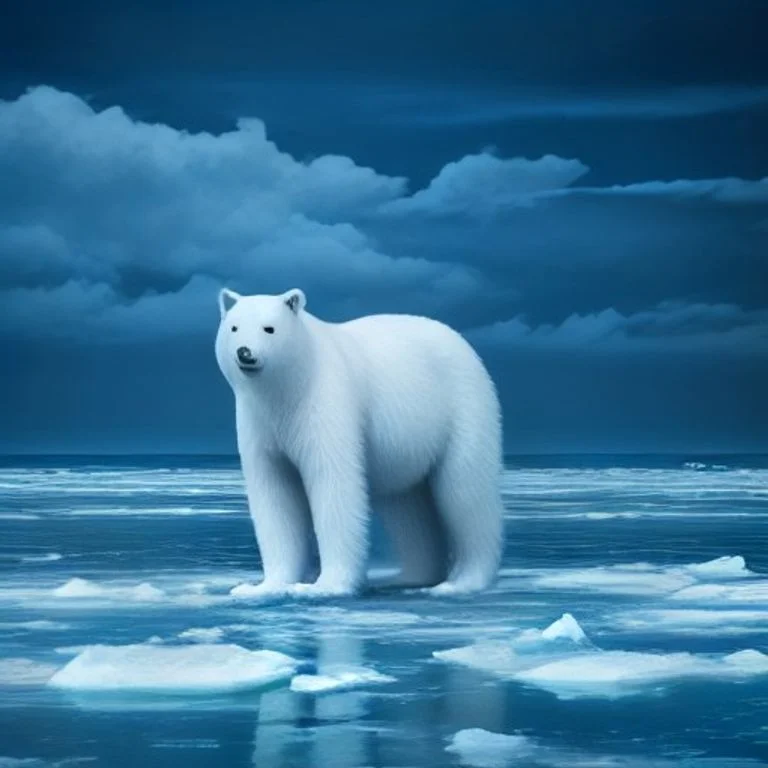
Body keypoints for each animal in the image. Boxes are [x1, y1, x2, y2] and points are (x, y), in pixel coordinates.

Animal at [215, 287, 504, 597]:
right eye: (234, 327)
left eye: (269, 328)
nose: (245, 352)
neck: (288, 389)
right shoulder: (259, 424)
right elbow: (274, 494)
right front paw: (261, 586)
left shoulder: (323, 403)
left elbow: (333, 484)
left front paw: (324, 586)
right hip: (403, 451)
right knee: (406, 508)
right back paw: (409, 577)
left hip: (463, 411)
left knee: (466, 494)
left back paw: (460, 582)